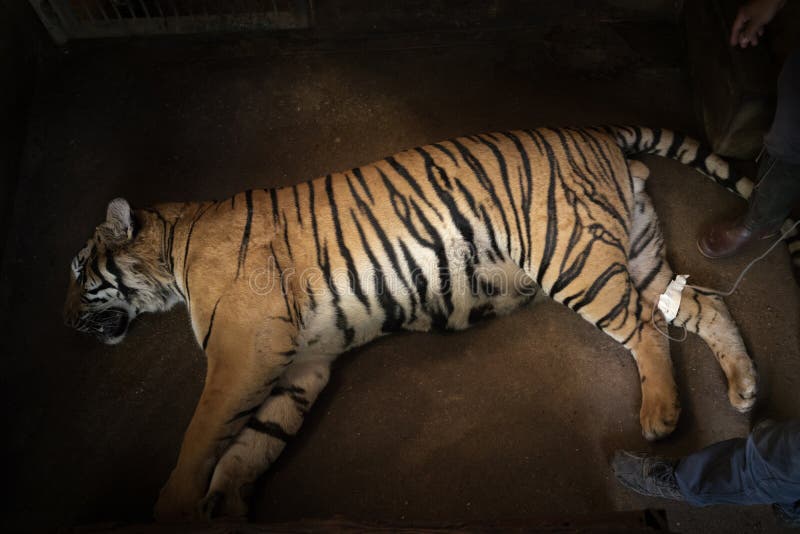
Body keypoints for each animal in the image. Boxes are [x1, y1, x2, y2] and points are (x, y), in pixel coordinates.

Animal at [63, 126, 793, 522]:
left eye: (76, 270)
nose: (67, 324)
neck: (172, 253)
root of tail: (598, 133)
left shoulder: (246, 348)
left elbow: (203, 433)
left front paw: (175, 507)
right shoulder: (302, 364)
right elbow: (251, 447)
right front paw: (224, 508)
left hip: (575, 259)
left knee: (644, 326)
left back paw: (662, 414)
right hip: (636, 253)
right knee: (703, 304)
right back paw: (744, 390)